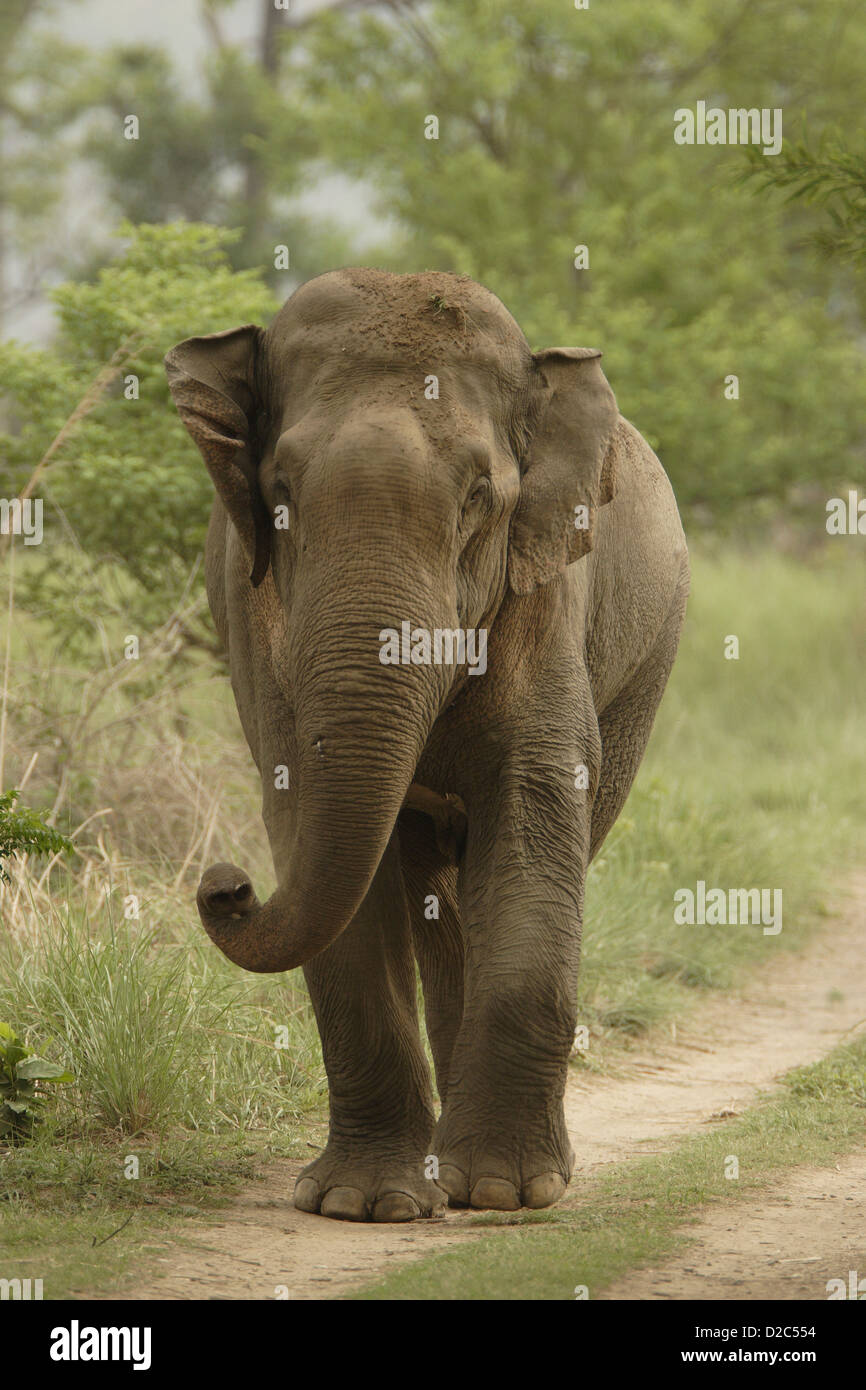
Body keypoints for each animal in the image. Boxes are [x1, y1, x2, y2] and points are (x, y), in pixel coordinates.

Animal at [165, 267, 689, 1223]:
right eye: (279, 491)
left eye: (480, 496)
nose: (225, 885)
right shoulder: (255, 618)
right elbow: (318, 833)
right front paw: (359, 1204)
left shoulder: (544, 590)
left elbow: (532, 807)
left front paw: (510, 1193)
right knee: (429, 884)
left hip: (648, 660)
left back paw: (484, 1171)